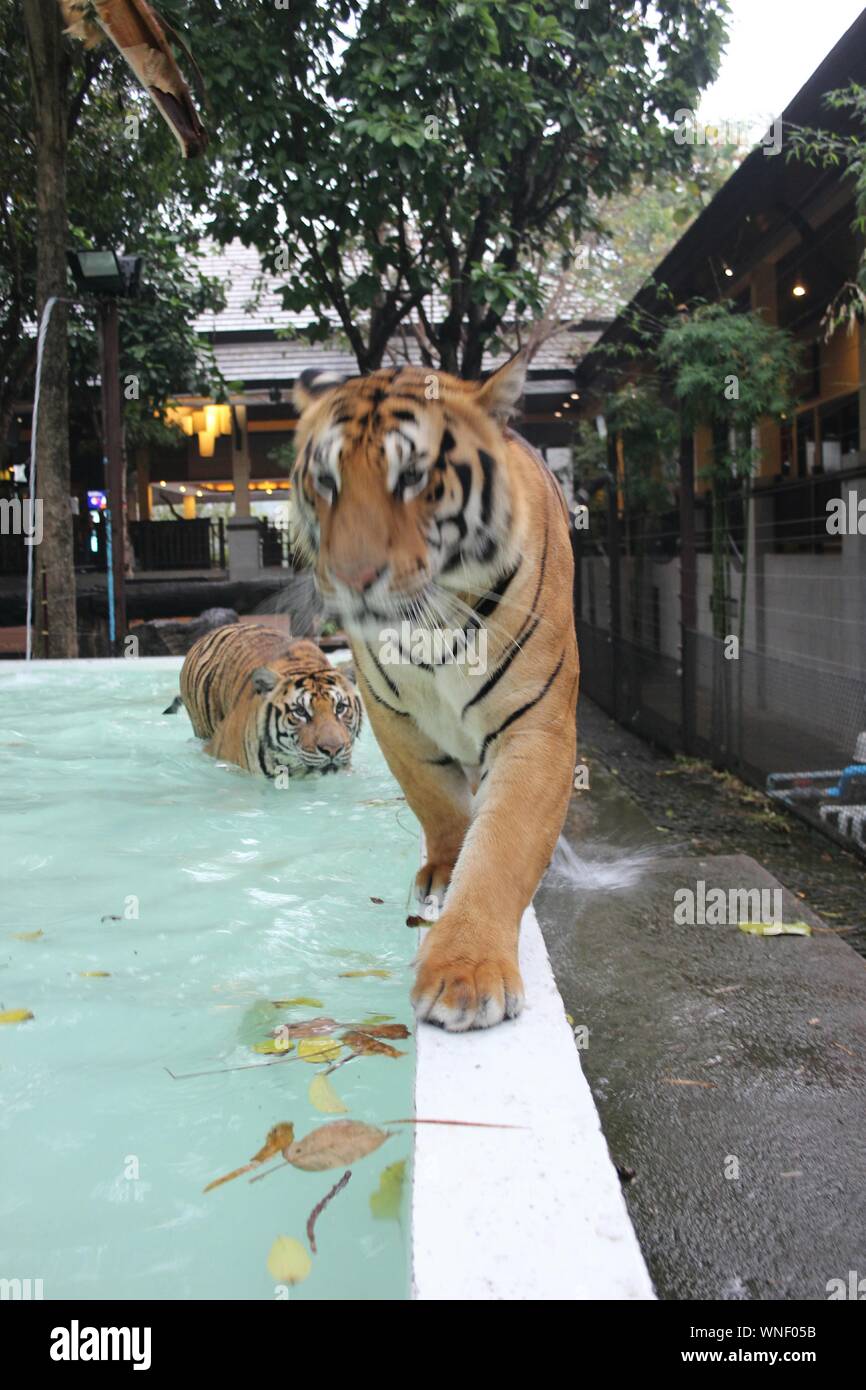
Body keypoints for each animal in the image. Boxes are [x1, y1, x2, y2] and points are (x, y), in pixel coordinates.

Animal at [291, 352, 579, 1031]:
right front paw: (445, 870)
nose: (352, 578)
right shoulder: (393, 717)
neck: (434, 625)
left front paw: (466, 974)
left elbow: (503, 842)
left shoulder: (537, 726)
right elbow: (441, 806)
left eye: (413, 477)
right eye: (326, 481)